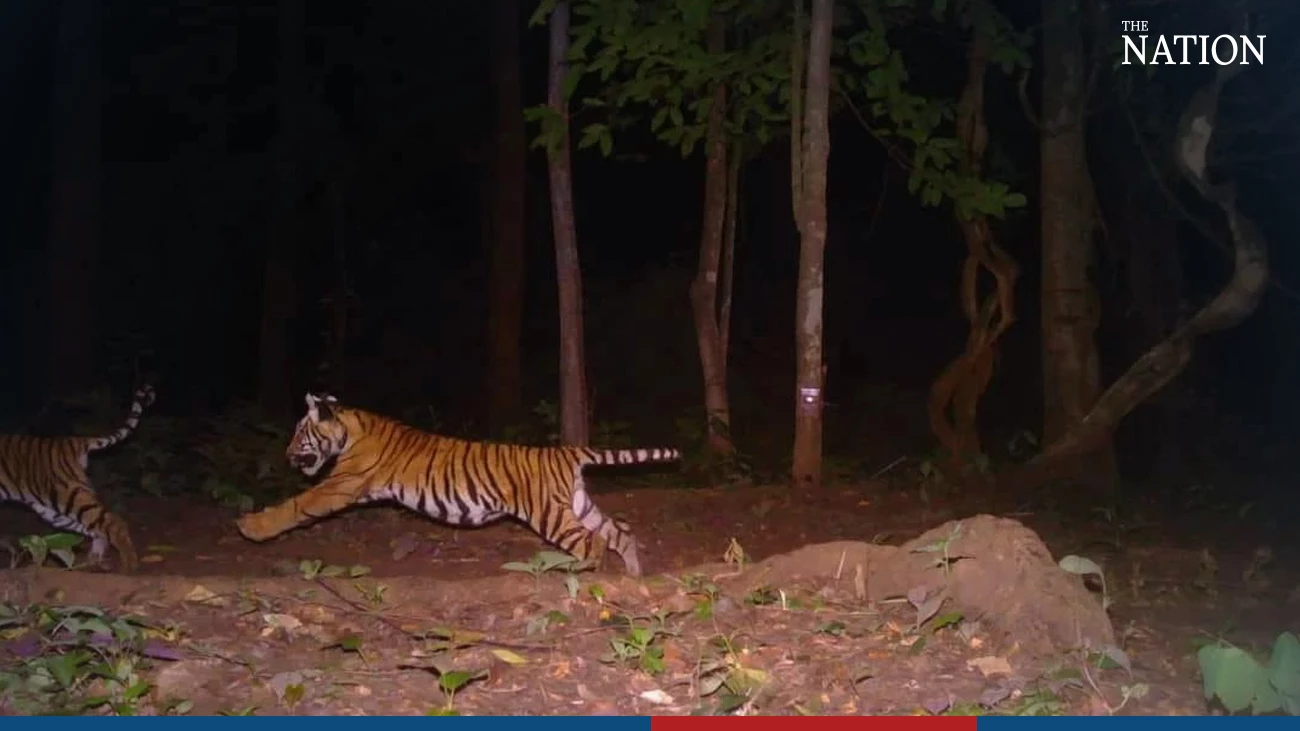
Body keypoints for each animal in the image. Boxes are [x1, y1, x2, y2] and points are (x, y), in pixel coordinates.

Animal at [0, 384, 156, 573]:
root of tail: (72, 441)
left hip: (69, 496)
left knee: (114, 522)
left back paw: (129, 566)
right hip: (54, 510)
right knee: (97, 529)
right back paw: (95, 562)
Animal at [235, 393, 680, 577]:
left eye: (299, 433)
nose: (287, 454)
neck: (351, 428)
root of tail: (565, 452)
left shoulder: (339, 484)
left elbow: (296, 504)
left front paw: (251, 527)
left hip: (550, 515)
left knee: (593, 543)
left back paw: (579, 572)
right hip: (578, 505)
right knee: (619, 532)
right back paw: (634, 576)